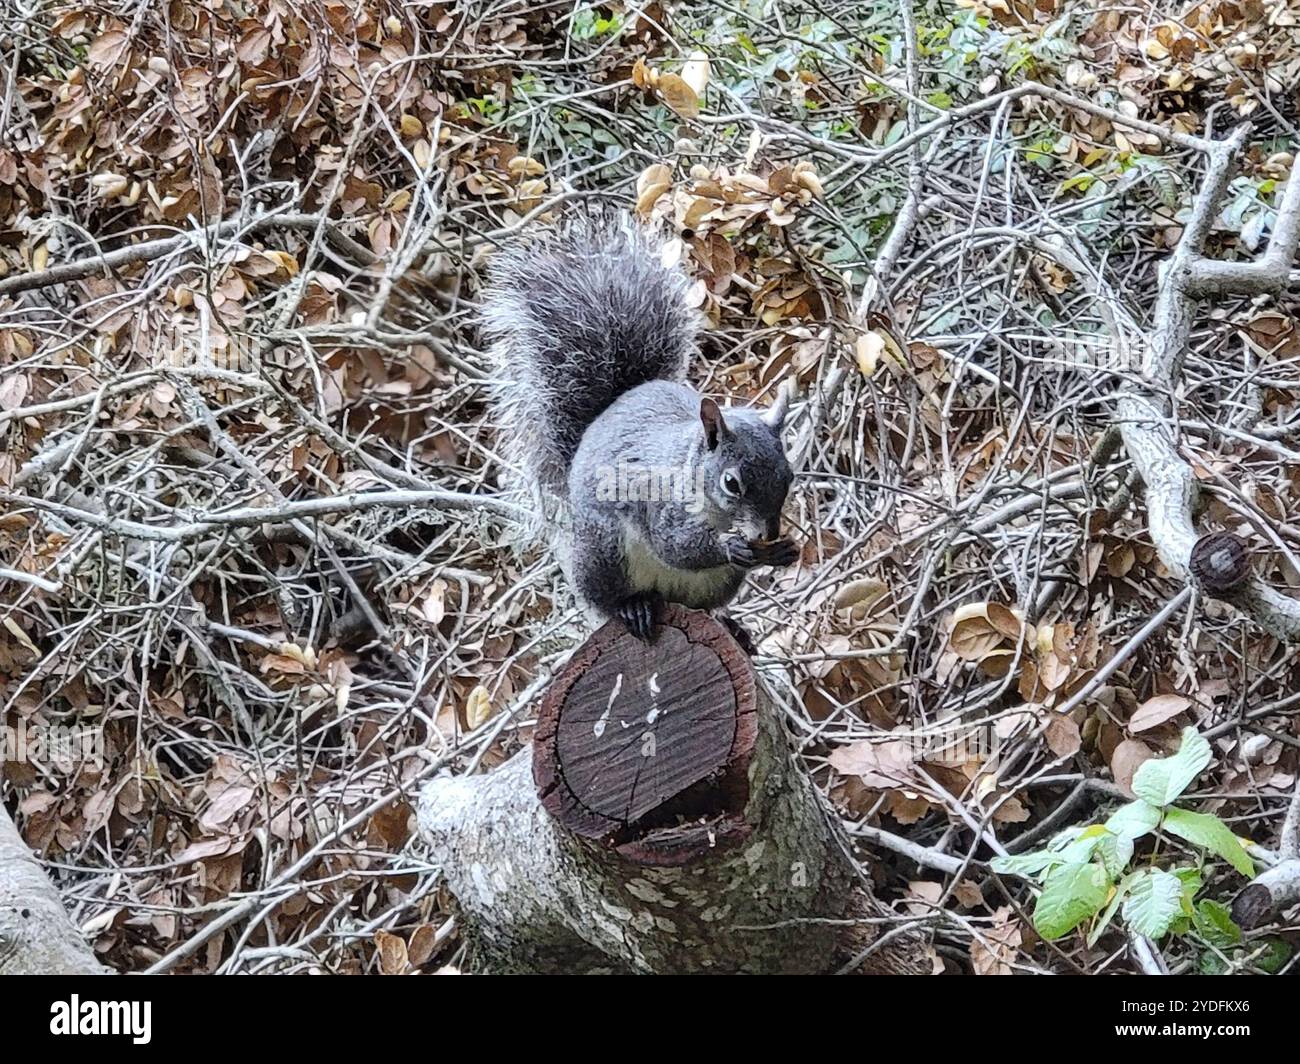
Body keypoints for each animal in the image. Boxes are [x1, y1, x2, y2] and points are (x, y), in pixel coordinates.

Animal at [481, 210, 798, 641]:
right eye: (732, 483)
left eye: (790, 475)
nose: (767, 534)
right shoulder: (658, 503)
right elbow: (674, 545)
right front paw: (730, 547)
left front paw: (782, 552)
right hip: (604, 553)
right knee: (609, 601)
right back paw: (634, 609)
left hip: (716, 584)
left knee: (703, 606)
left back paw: (727, 625)